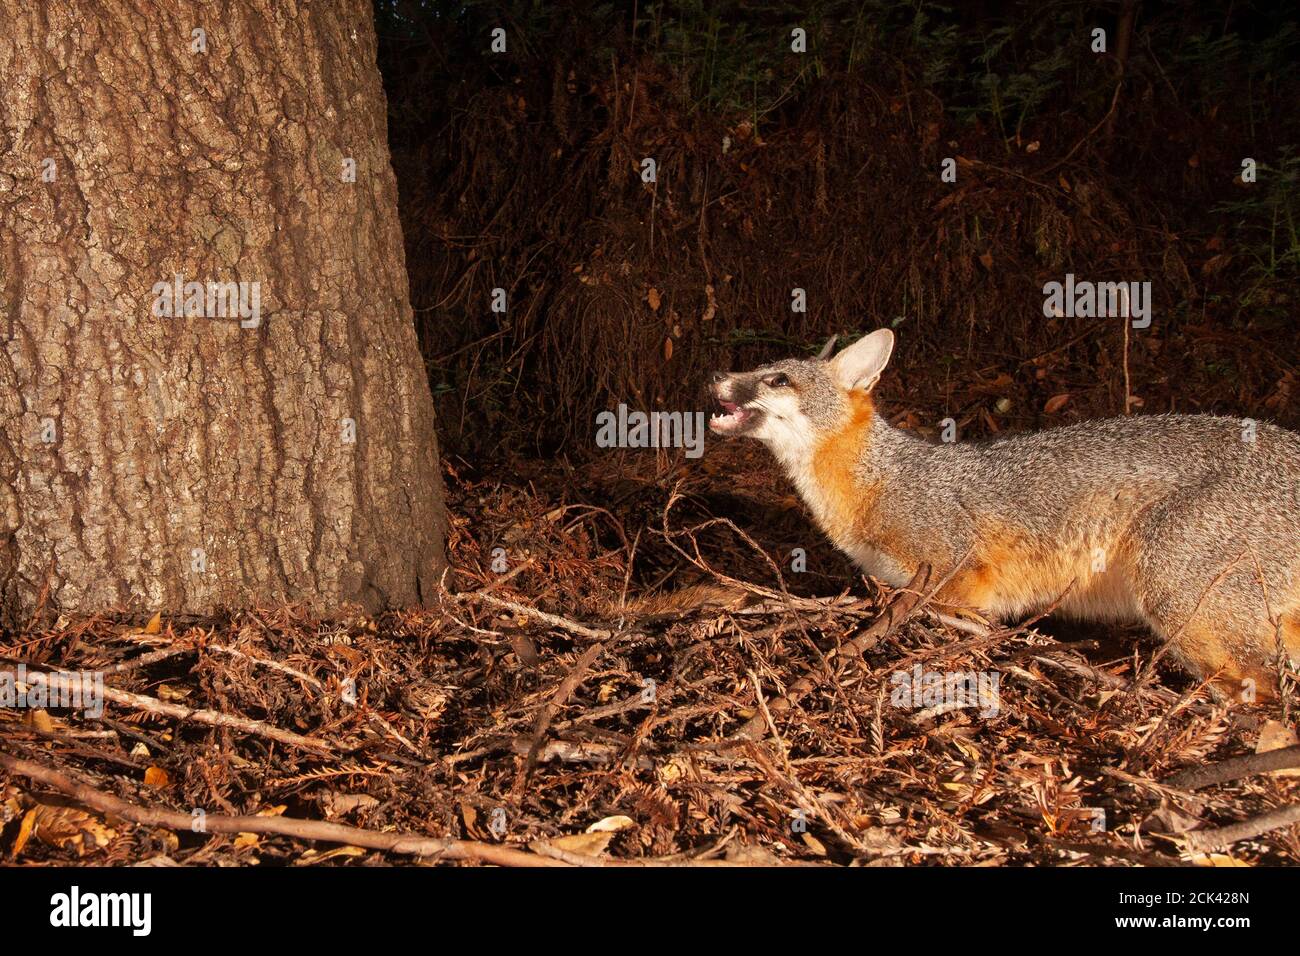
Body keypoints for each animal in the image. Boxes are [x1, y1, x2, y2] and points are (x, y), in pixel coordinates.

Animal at [708, 328, 1300, 699]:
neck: (877, 481)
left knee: (1264, 691)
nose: (714, 376)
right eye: (755, 369)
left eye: (777, 379)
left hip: (1179, 604)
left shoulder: (959, 581)